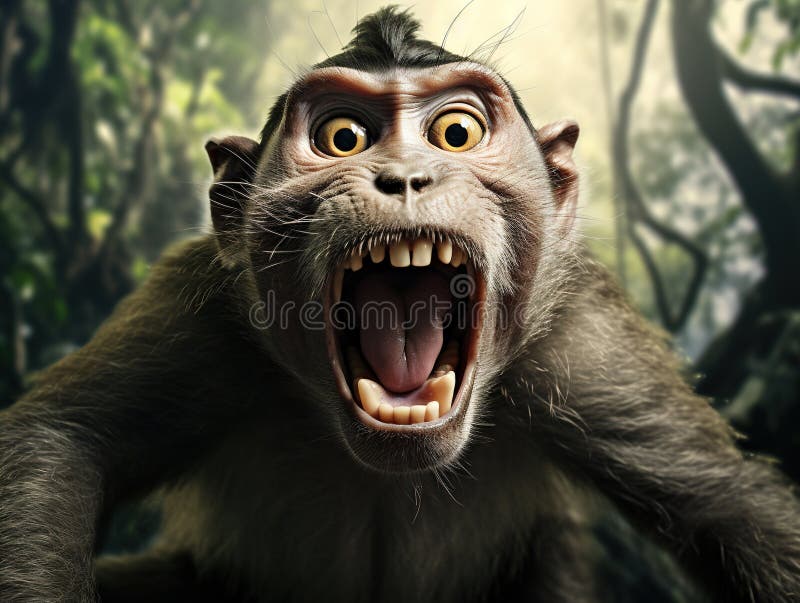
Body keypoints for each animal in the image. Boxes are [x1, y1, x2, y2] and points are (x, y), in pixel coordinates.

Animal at [1, 6, 799, 602]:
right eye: (343, 137)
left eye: (457, 132)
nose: (406, 175)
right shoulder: (206, 314)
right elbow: (62, 442)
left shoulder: (579, 334)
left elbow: (731, 507)